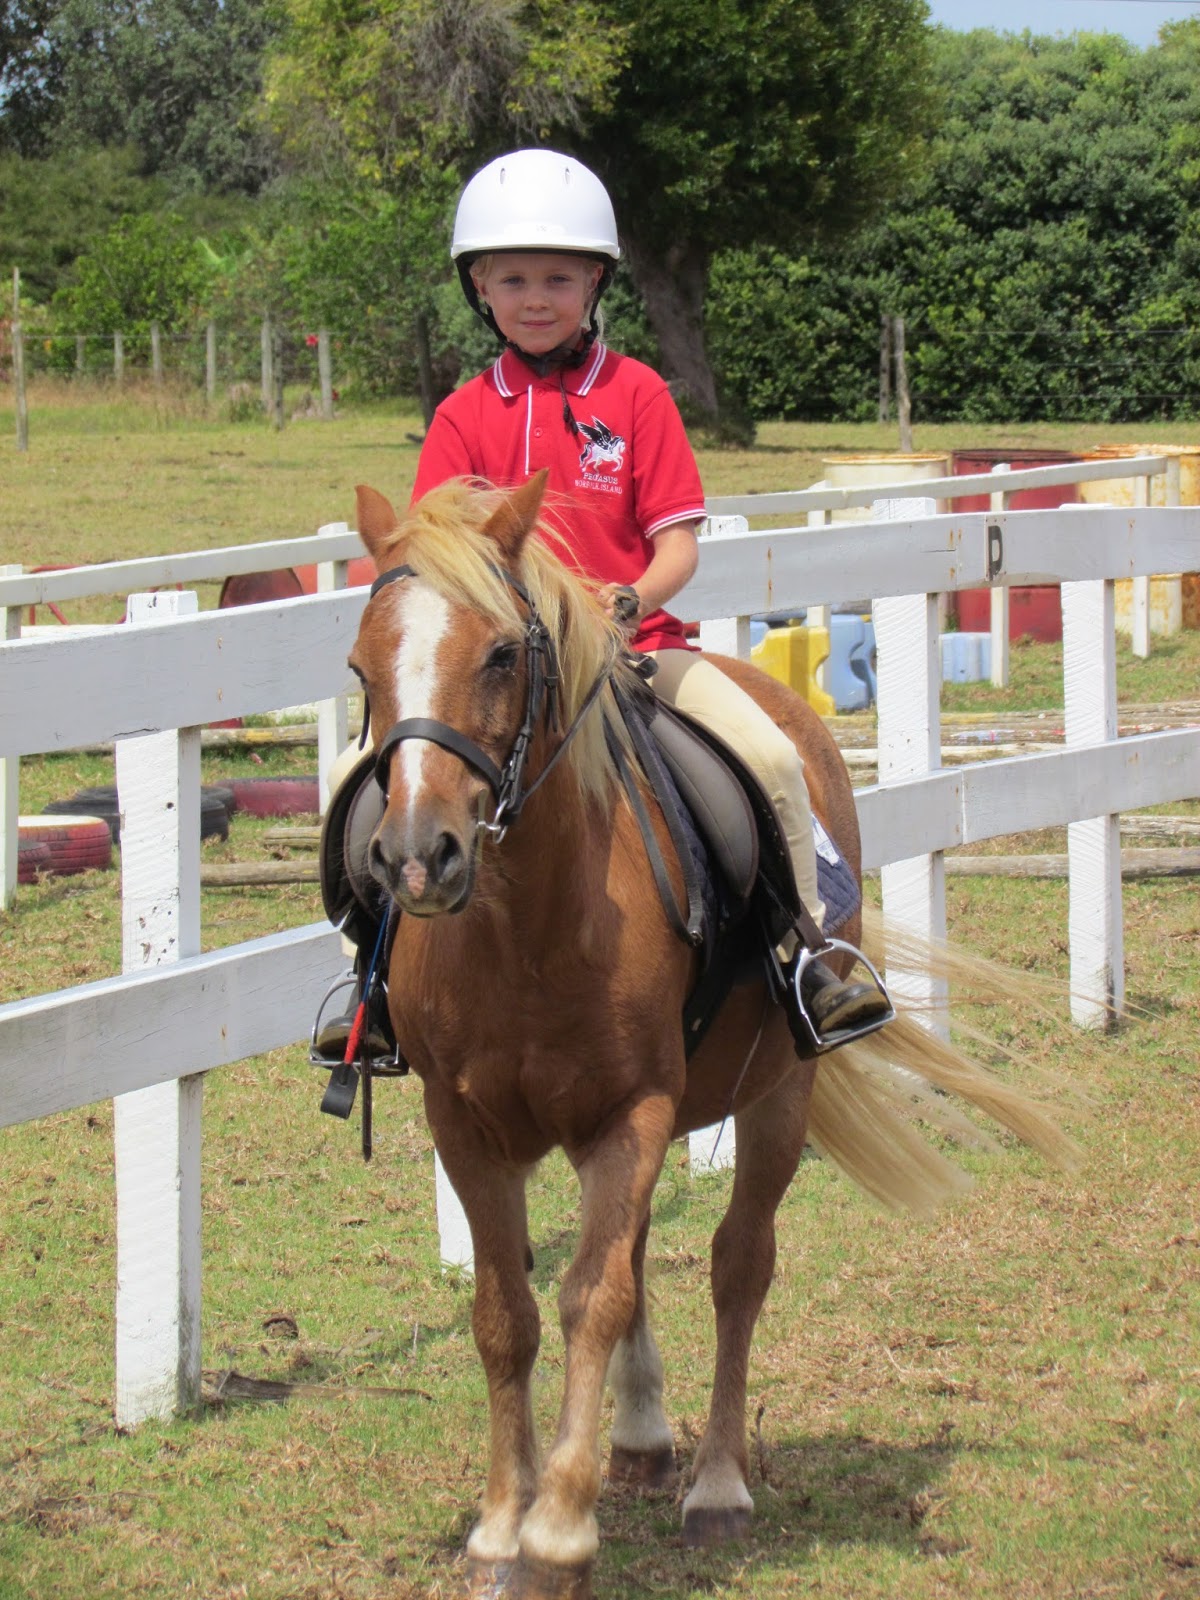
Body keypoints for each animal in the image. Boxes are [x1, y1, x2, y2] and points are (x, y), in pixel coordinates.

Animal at [343, 470, 1077, 1600]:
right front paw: (501, 1525)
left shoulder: (636, 1111)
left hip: (778, 1096)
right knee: (644, 1254)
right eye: (361, 664)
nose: (420, 856)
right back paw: (641, 1443)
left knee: (739, 1265)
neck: (529, 927)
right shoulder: (464, 1124)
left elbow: (593, 1296)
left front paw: (558, 1533)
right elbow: (508, 1313)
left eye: (502, 653)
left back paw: (717, 1486)